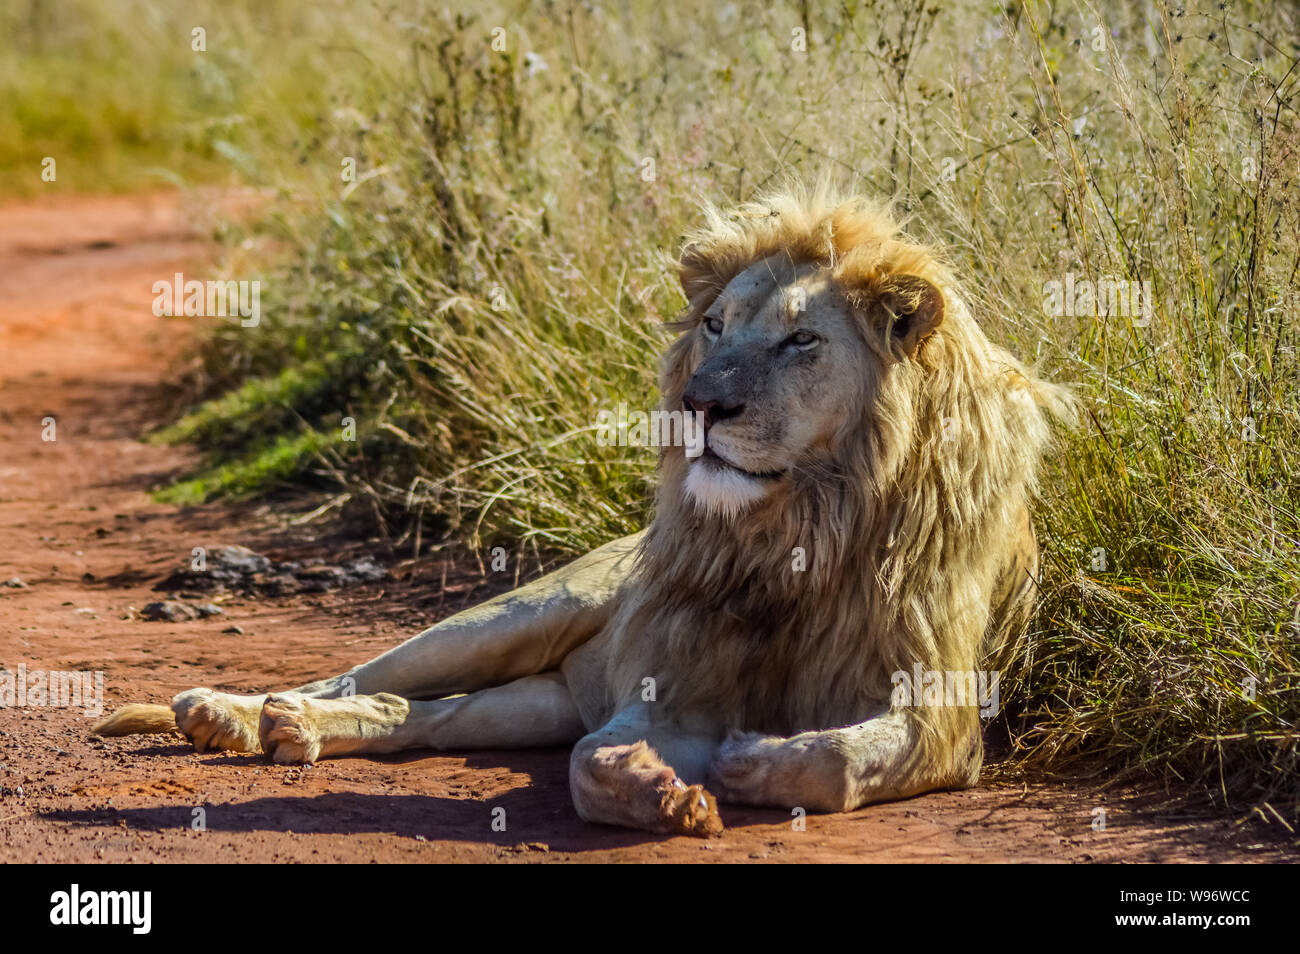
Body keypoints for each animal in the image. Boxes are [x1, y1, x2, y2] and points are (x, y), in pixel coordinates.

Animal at [93, 186, 1070, 837]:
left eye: (802, 340)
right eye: (714, 326)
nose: (700, 405)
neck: (800, 521)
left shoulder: (940, 713)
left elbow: (837, 757)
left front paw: (751, 763)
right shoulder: (667, 680)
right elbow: (590, 764)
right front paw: (657, 786)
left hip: (537, 695)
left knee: (428, 716)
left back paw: (288, 730)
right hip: (520, 614)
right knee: (360, 674)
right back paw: (233, 712)